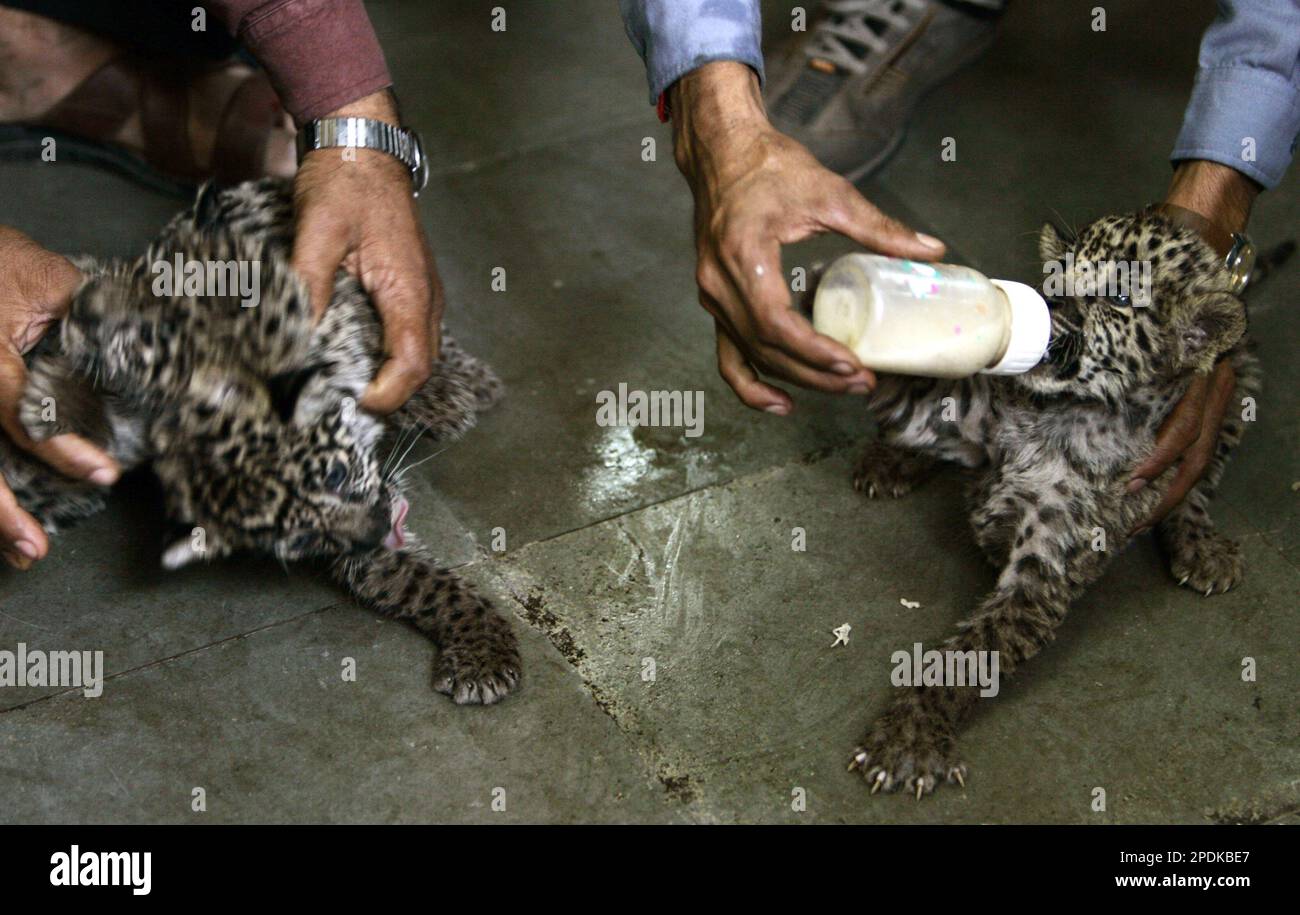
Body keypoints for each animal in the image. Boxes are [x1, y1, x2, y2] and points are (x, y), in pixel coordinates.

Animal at [5, 178, 521, 705]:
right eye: (301, 540)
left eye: (338, 475)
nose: (376, 531)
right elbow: (415, 582)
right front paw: (481, 648)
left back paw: (462, 386)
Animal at [844, 210, 1259, 797]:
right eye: (1058, 271)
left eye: (1119, 296)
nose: (1046, 300)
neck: (1068, 415)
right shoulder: (963, 420)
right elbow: (918, 396)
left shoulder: (1047, 563)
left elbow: (970, 655)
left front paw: (908, 738)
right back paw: (889, 460)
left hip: (1239, 384)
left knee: (1201, 480)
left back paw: (1199, 544)